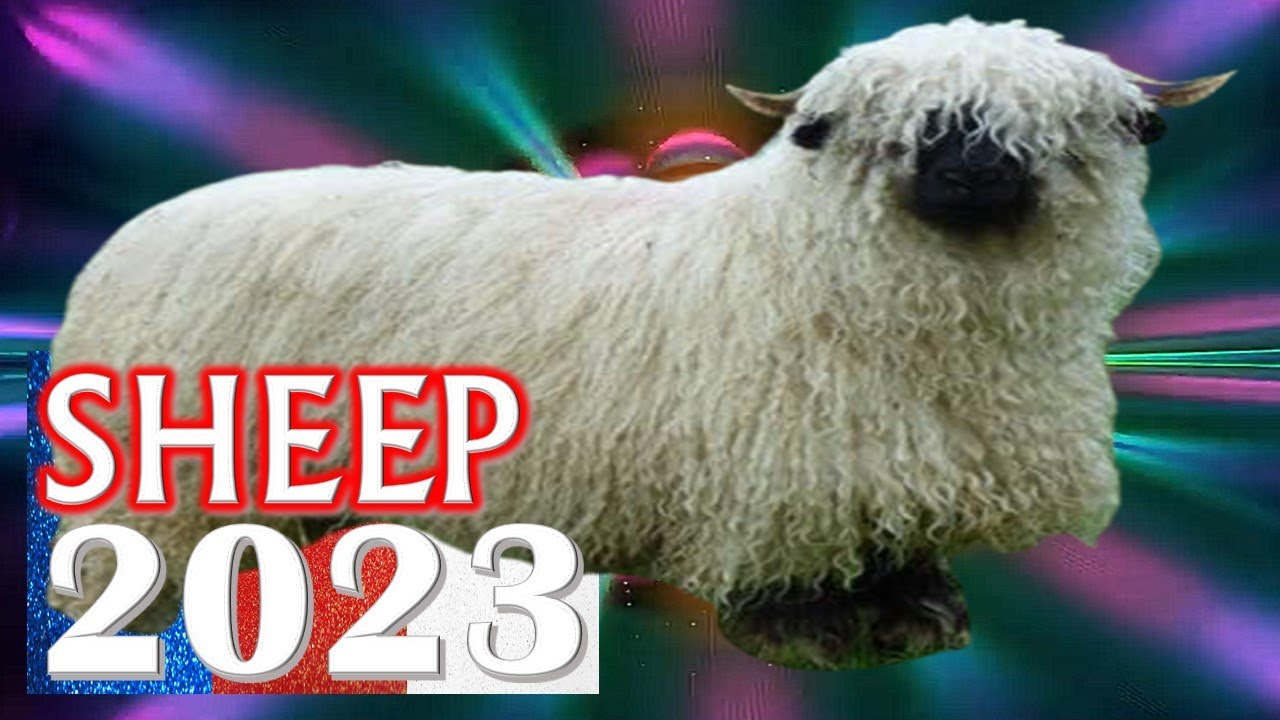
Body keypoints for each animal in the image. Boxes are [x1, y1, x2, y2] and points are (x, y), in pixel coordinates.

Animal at [46, 17, 1231, 669]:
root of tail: (143, 228)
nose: (971, 172)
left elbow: (901, 550)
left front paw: (919, 612)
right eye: (907, 127)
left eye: (1045, 129)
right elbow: (793, 575)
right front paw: (820, 633)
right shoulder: (783, 472)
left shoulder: (892, 464)